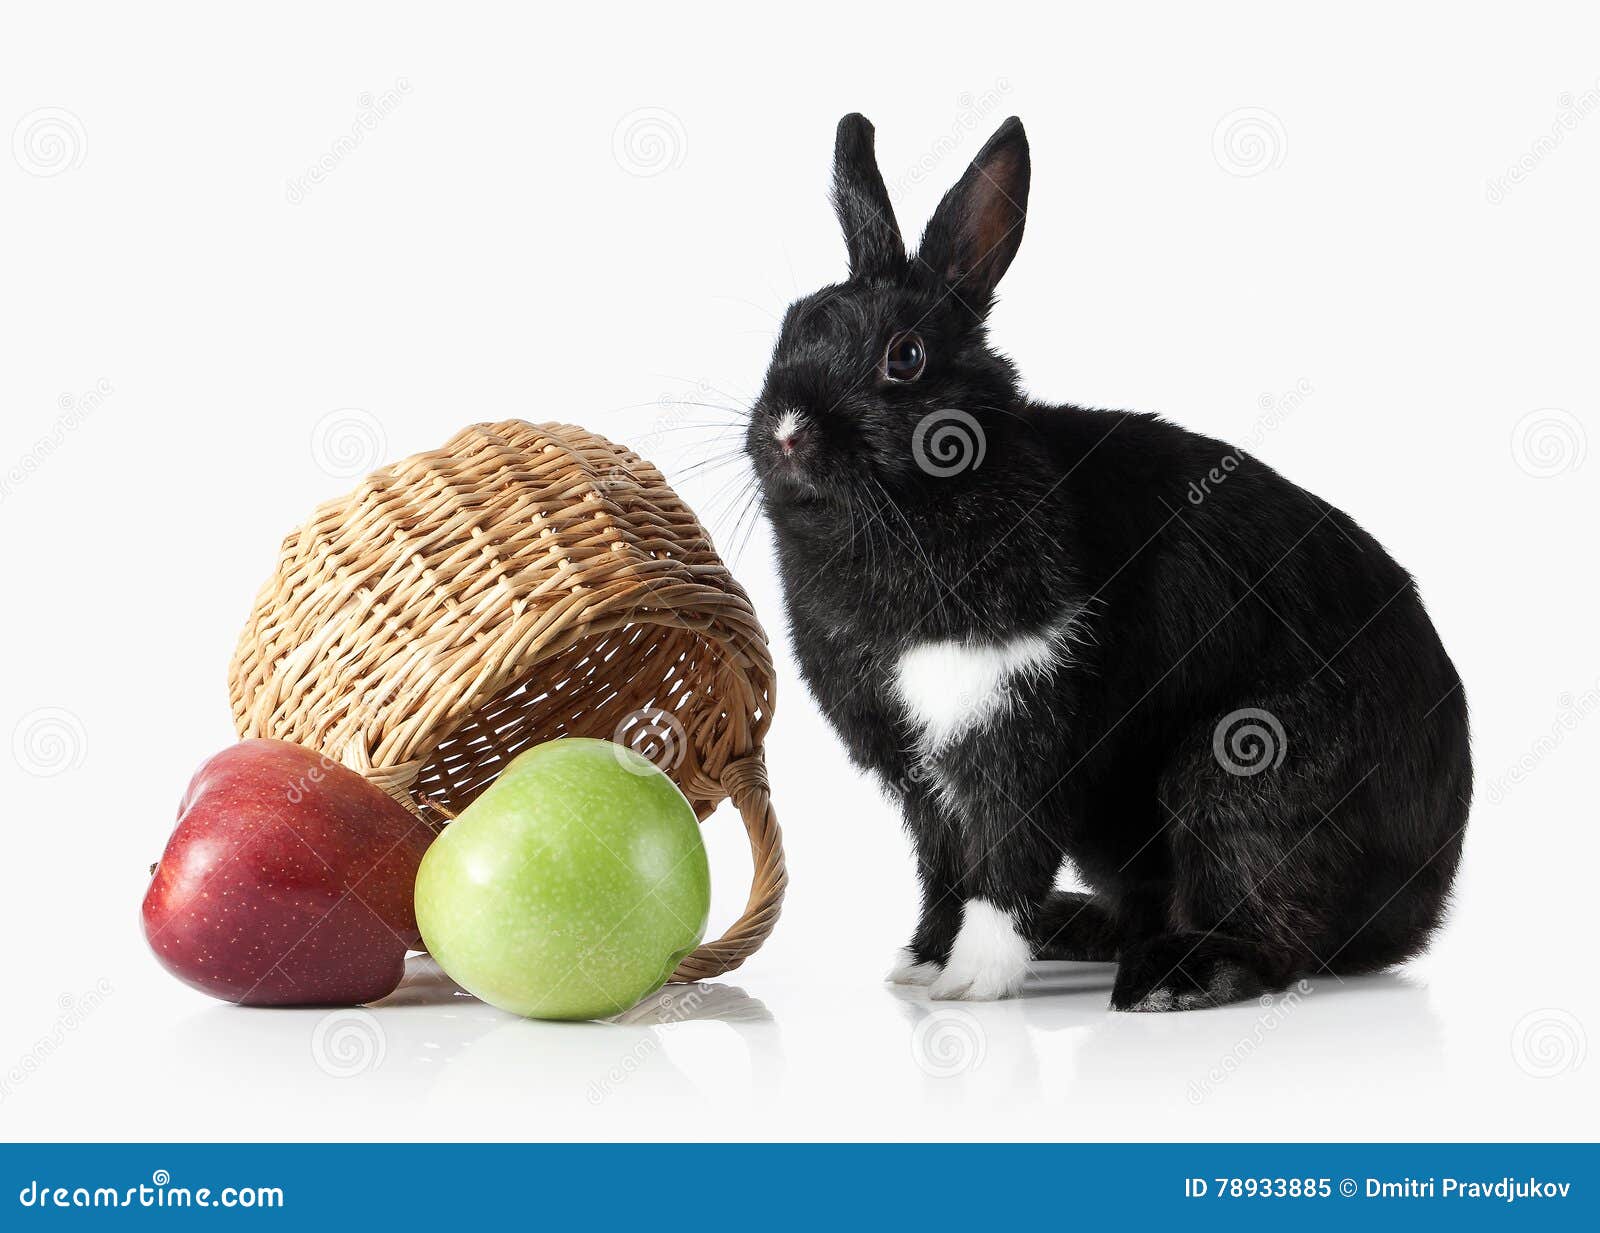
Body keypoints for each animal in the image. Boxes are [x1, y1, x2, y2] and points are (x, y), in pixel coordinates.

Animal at [742, 113, 1471, 1010]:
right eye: (790, 326)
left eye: (904, 357)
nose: (785, 430)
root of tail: (1426, 892)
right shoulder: (921, 780)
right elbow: (944, 871)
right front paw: (921, 964)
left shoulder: (1022, 736)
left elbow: (1004, 863)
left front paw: (973, 981)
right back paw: (1081, 933)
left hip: (1242, 778)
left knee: (1275, 934)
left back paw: (1171, 980)